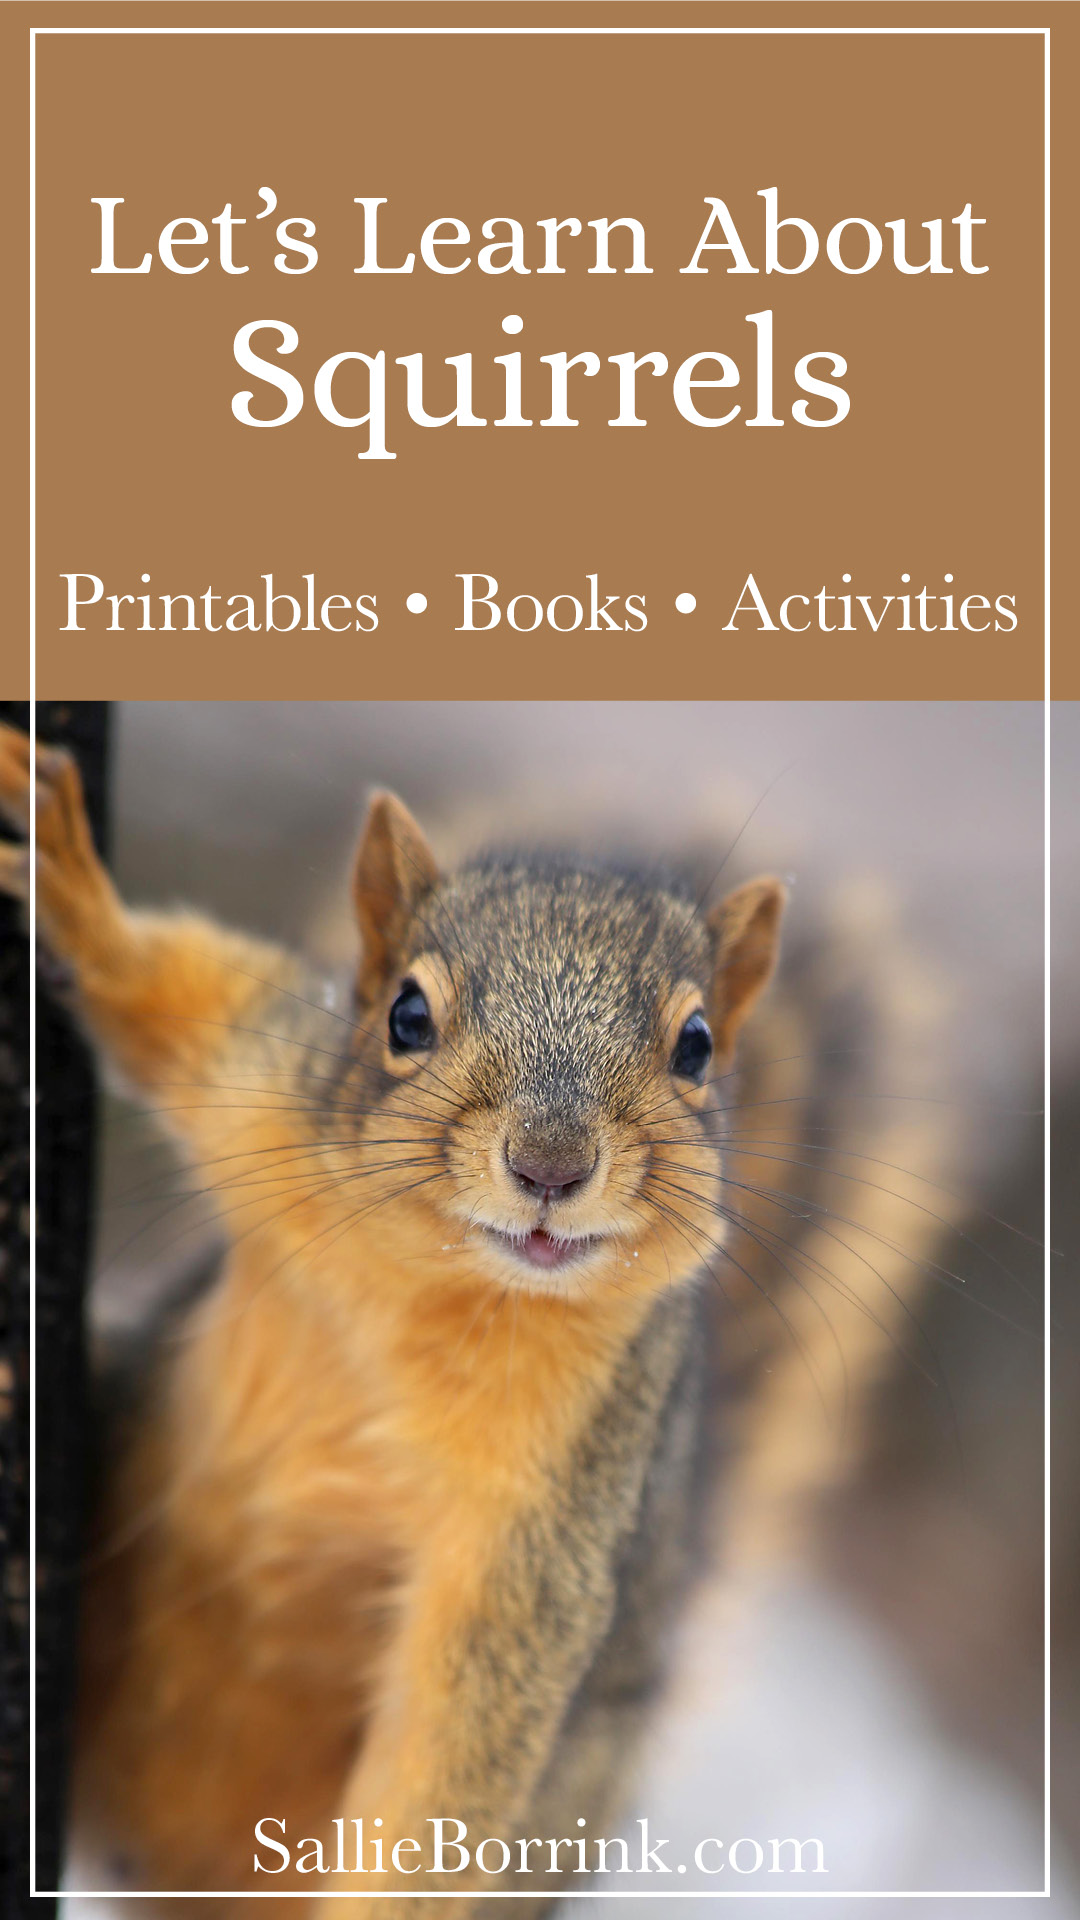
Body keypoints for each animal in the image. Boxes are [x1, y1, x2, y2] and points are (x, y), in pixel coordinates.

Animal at [0, 720, 953, 1916]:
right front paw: (65, 871)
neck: (440, 1279)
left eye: (695, 1046)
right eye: (405, 1016)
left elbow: (451, 1757)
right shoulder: (265, 1092)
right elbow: (171, 1004)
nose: (549, 1165)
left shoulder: (545, 1527)